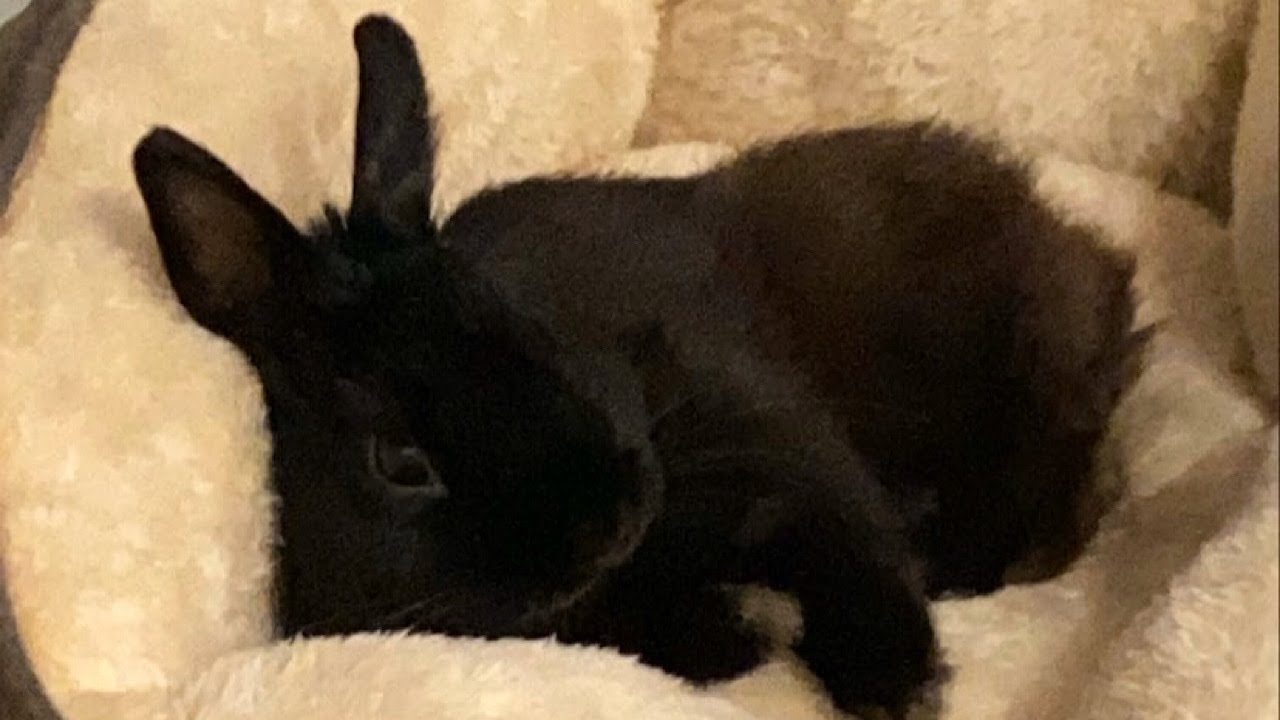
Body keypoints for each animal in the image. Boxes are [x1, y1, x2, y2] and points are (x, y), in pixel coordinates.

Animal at [132, 15, 940, 717]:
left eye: (532, 325)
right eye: (399, 463)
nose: (612, 520)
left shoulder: (762, 416)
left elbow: (846, 520)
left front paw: (899, 685)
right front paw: (748, 627)